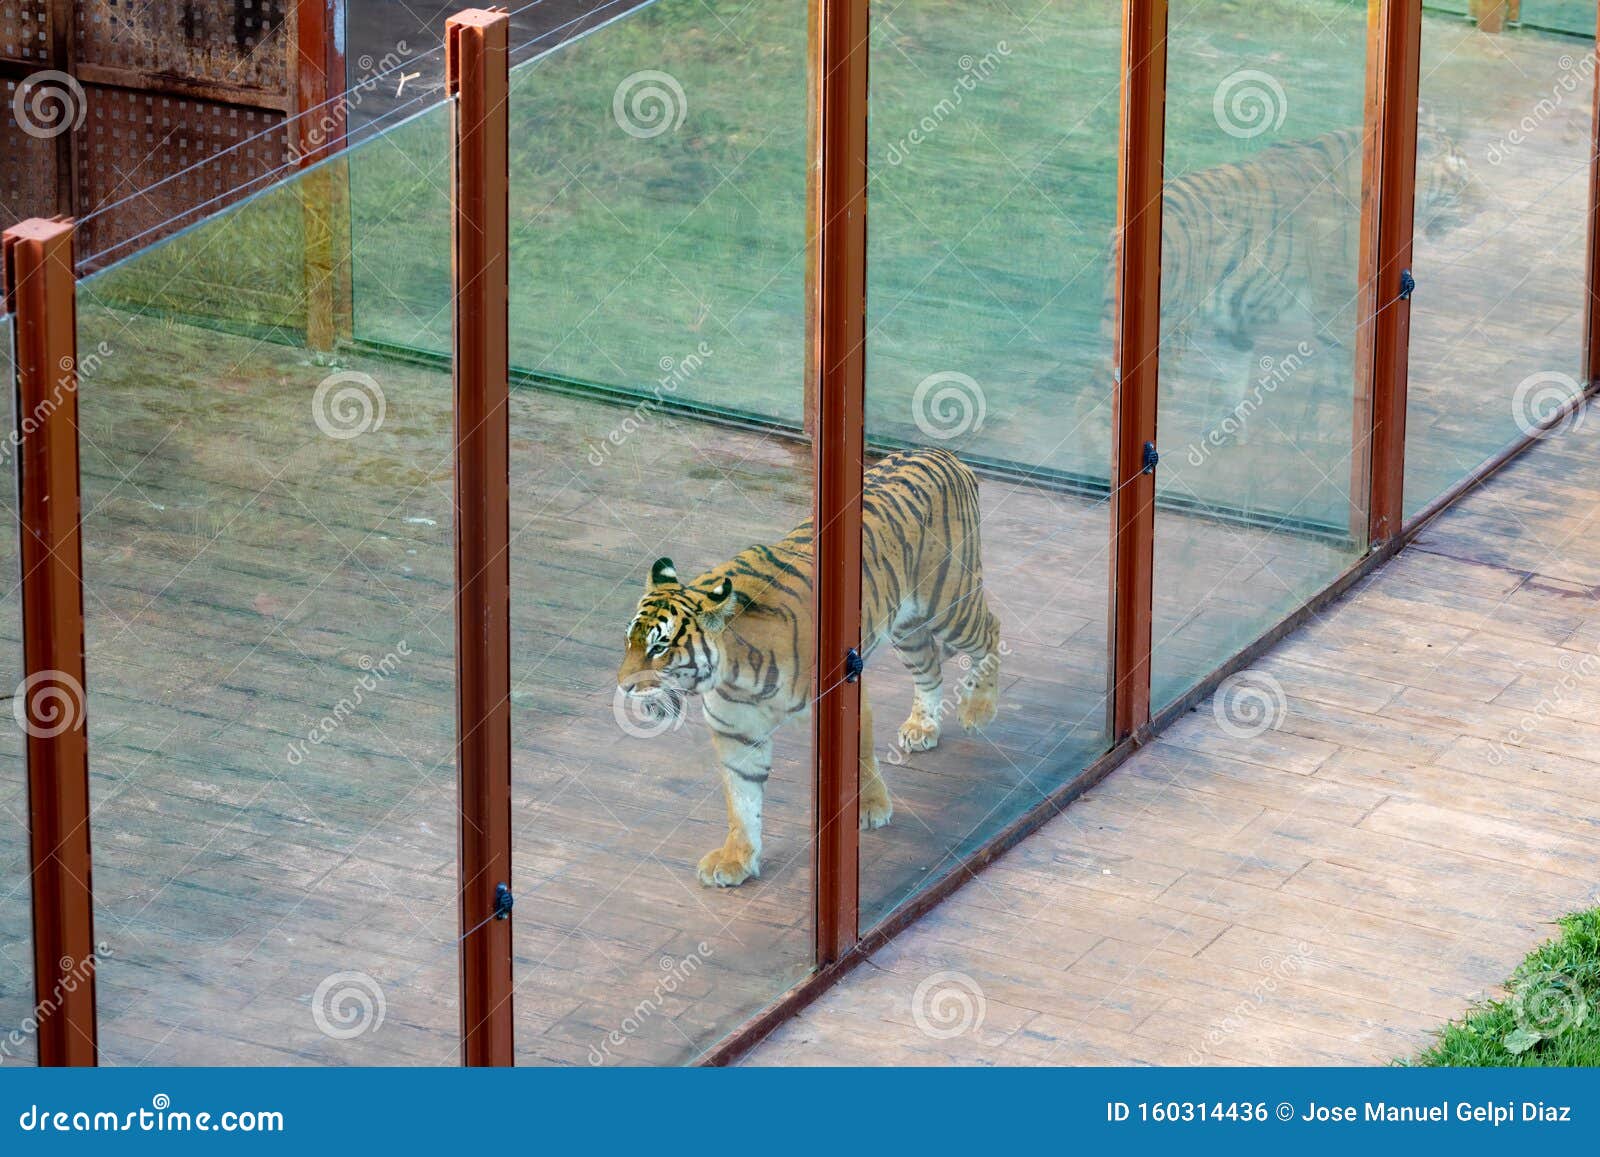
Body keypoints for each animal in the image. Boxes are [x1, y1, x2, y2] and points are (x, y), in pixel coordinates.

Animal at [615, 447, 1002, 887]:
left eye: (659, 647)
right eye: (629, 642)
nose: (624, 686)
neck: (736, 675)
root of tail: (944, 454)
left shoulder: (848, 691)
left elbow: (858, 760)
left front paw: (869, 809)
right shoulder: (736, 731)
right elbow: (742, 800)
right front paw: (736, 858)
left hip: (950, 604)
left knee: (991, 630)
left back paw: (978, 709)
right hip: (908, 627)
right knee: (931, 669)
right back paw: (923, 727)